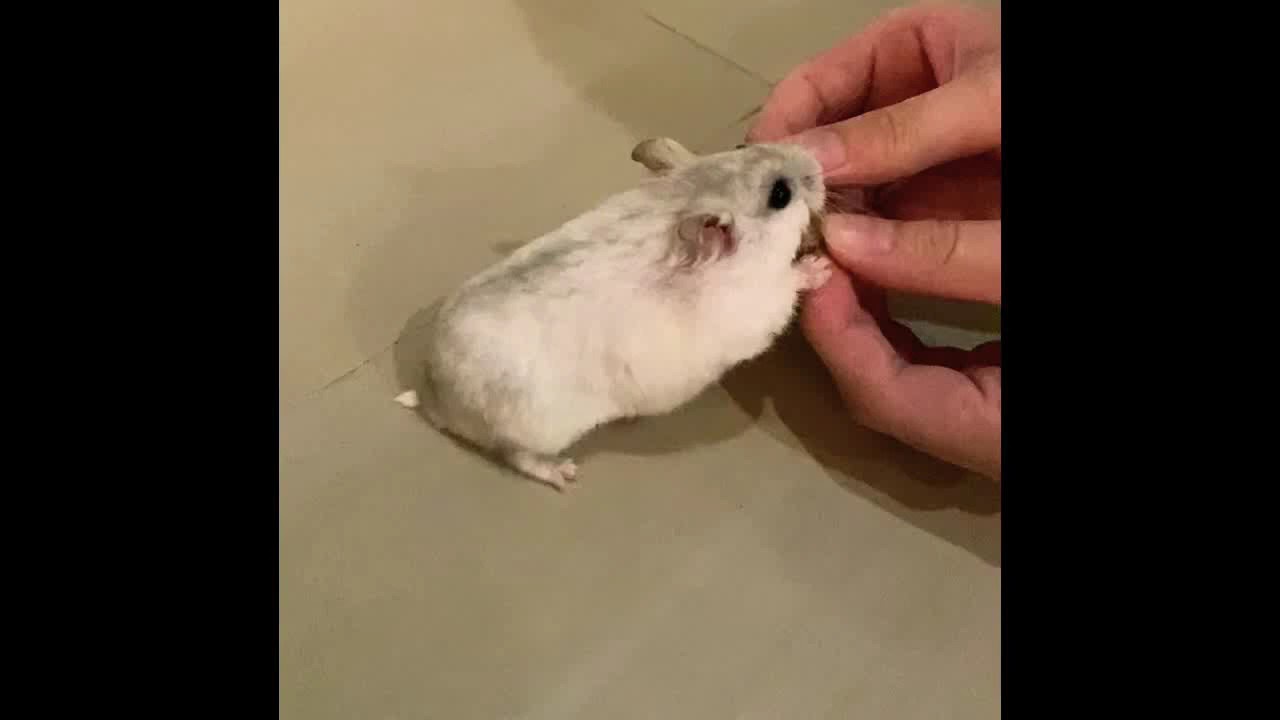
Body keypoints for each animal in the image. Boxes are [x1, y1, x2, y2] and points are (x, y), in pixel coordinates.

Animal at [398, 137, 831, 491]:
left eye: (742, 147)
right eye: (780, 194)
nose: (820, 164)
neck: (685, 196)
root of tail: (436, 398)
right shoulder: (757, 309)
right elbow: (789, 285)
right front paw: (820, 267)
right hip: (535, 432)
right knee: (518, 458)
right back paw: (565, 474)